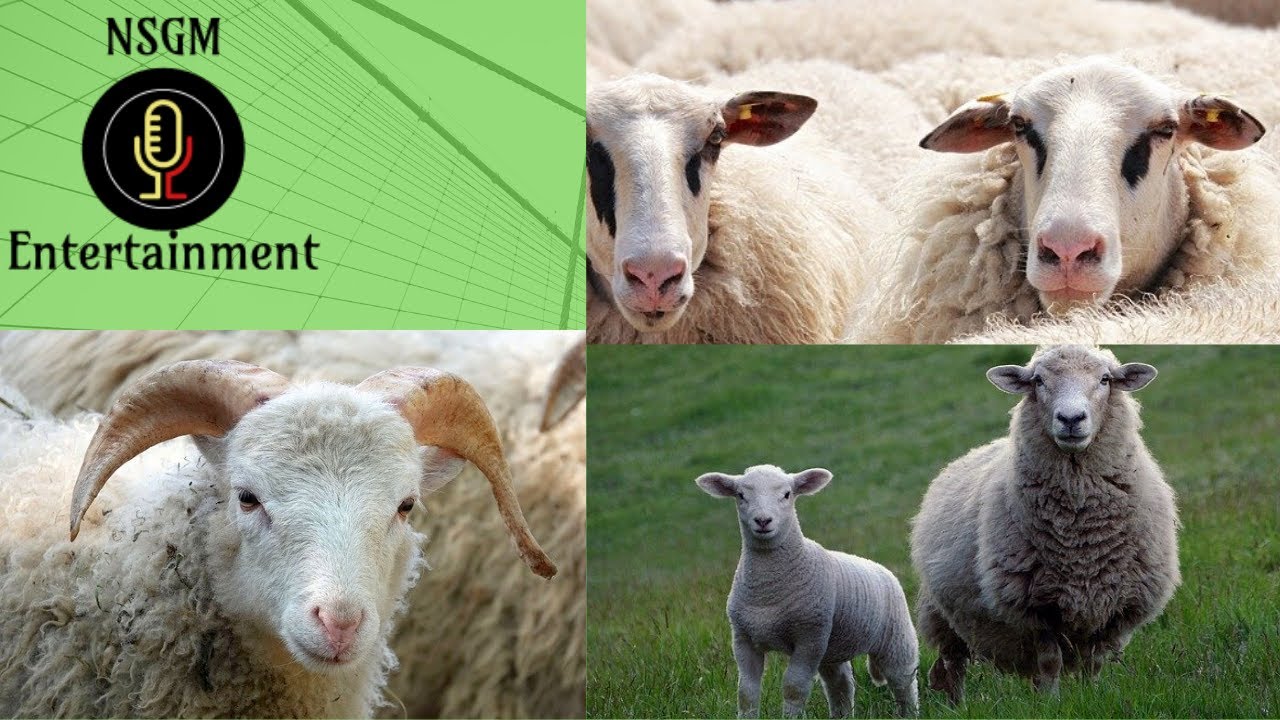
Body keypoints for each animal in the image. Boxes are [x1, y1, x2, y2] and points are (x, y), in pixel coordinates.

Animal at [697, 465, 919, 718]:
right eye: (741, 495)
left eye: (787, 494)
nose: (763, 521)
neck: (767, 591)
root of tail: (881, 568)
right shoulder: (743, 638)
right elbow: (746, 692)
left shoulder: (809, 637)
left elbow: (794, 687)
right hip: (832, 647)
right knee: (840, 685)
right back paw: (841, 715)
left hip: (895, 637)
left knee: (903, 680)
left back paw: (909, 712)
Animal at [910, 345, 1180, 704]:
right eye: (1038, 380)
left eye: (1105, 379)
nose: (1071, 419)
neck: (1081, 536)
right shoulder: (1035, 609)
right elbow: (1050, 662)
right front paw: (1052, 704)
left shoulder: (1113, 606)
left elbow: (1093, 663)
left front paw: (1091, 697)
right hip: (942, 615)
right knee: (952, 666)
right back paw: (958, 706)